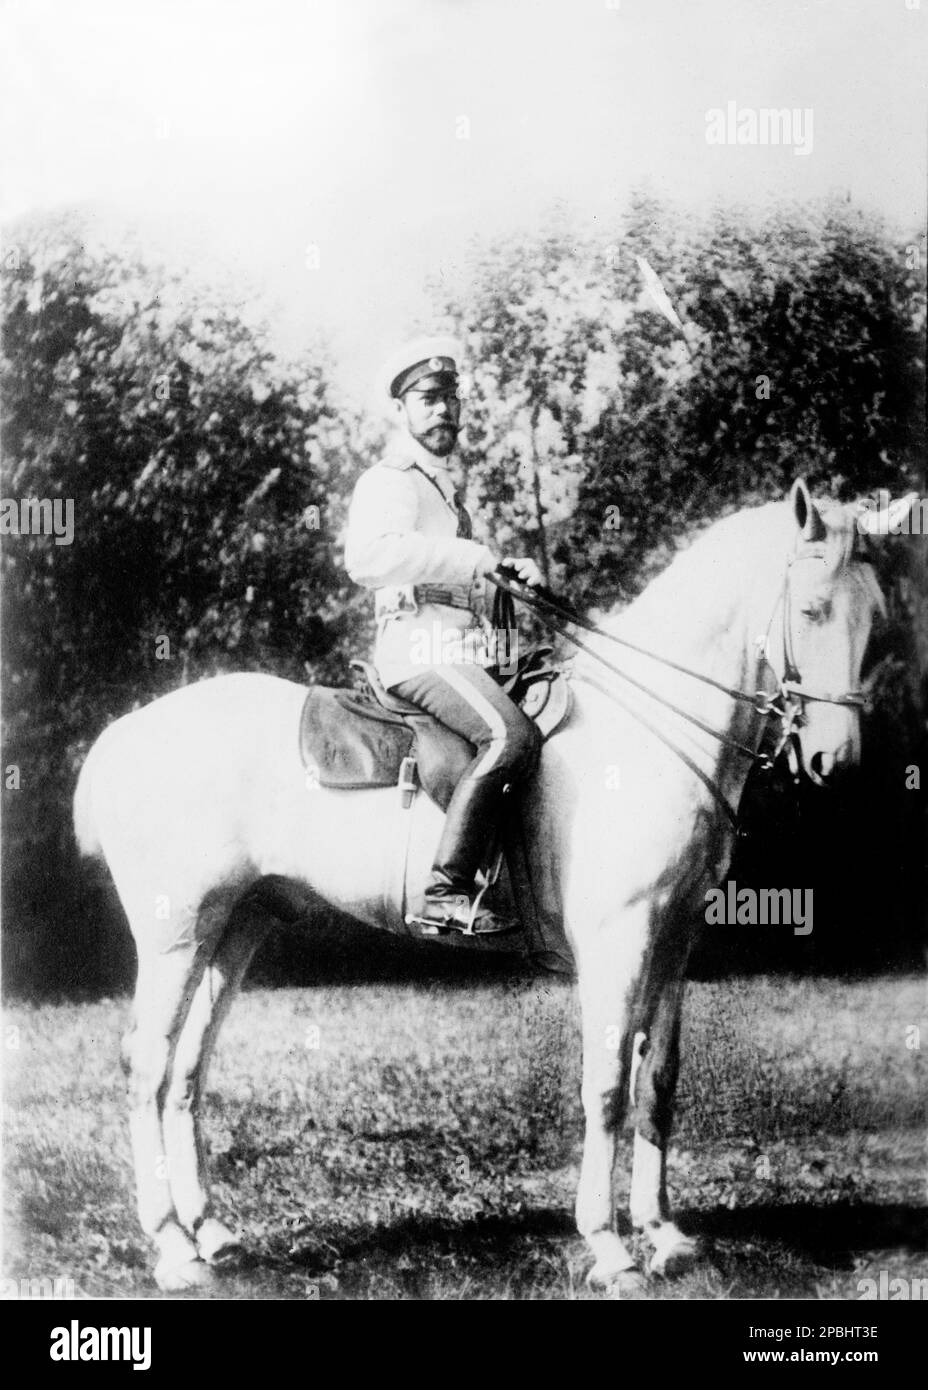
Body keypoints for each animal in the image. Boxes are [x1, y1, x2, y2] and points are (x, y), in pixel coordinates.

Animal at [72, 483, 905, 1295]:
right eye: (812, 610)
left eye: (879, 623)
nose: (835, 761)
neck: (648, 732)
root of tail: (120, 738)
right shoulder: (619, 943)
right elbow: (607, 1085)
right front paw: (610, 1247)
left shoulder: (674, 941)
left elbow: (658, 1083)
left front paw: (667, 1238)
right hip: (177, 933)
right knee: (147, 1065)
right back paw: (171, 1247)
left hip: (236, 928)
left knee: (186, 1070)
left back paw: (211, 1232)